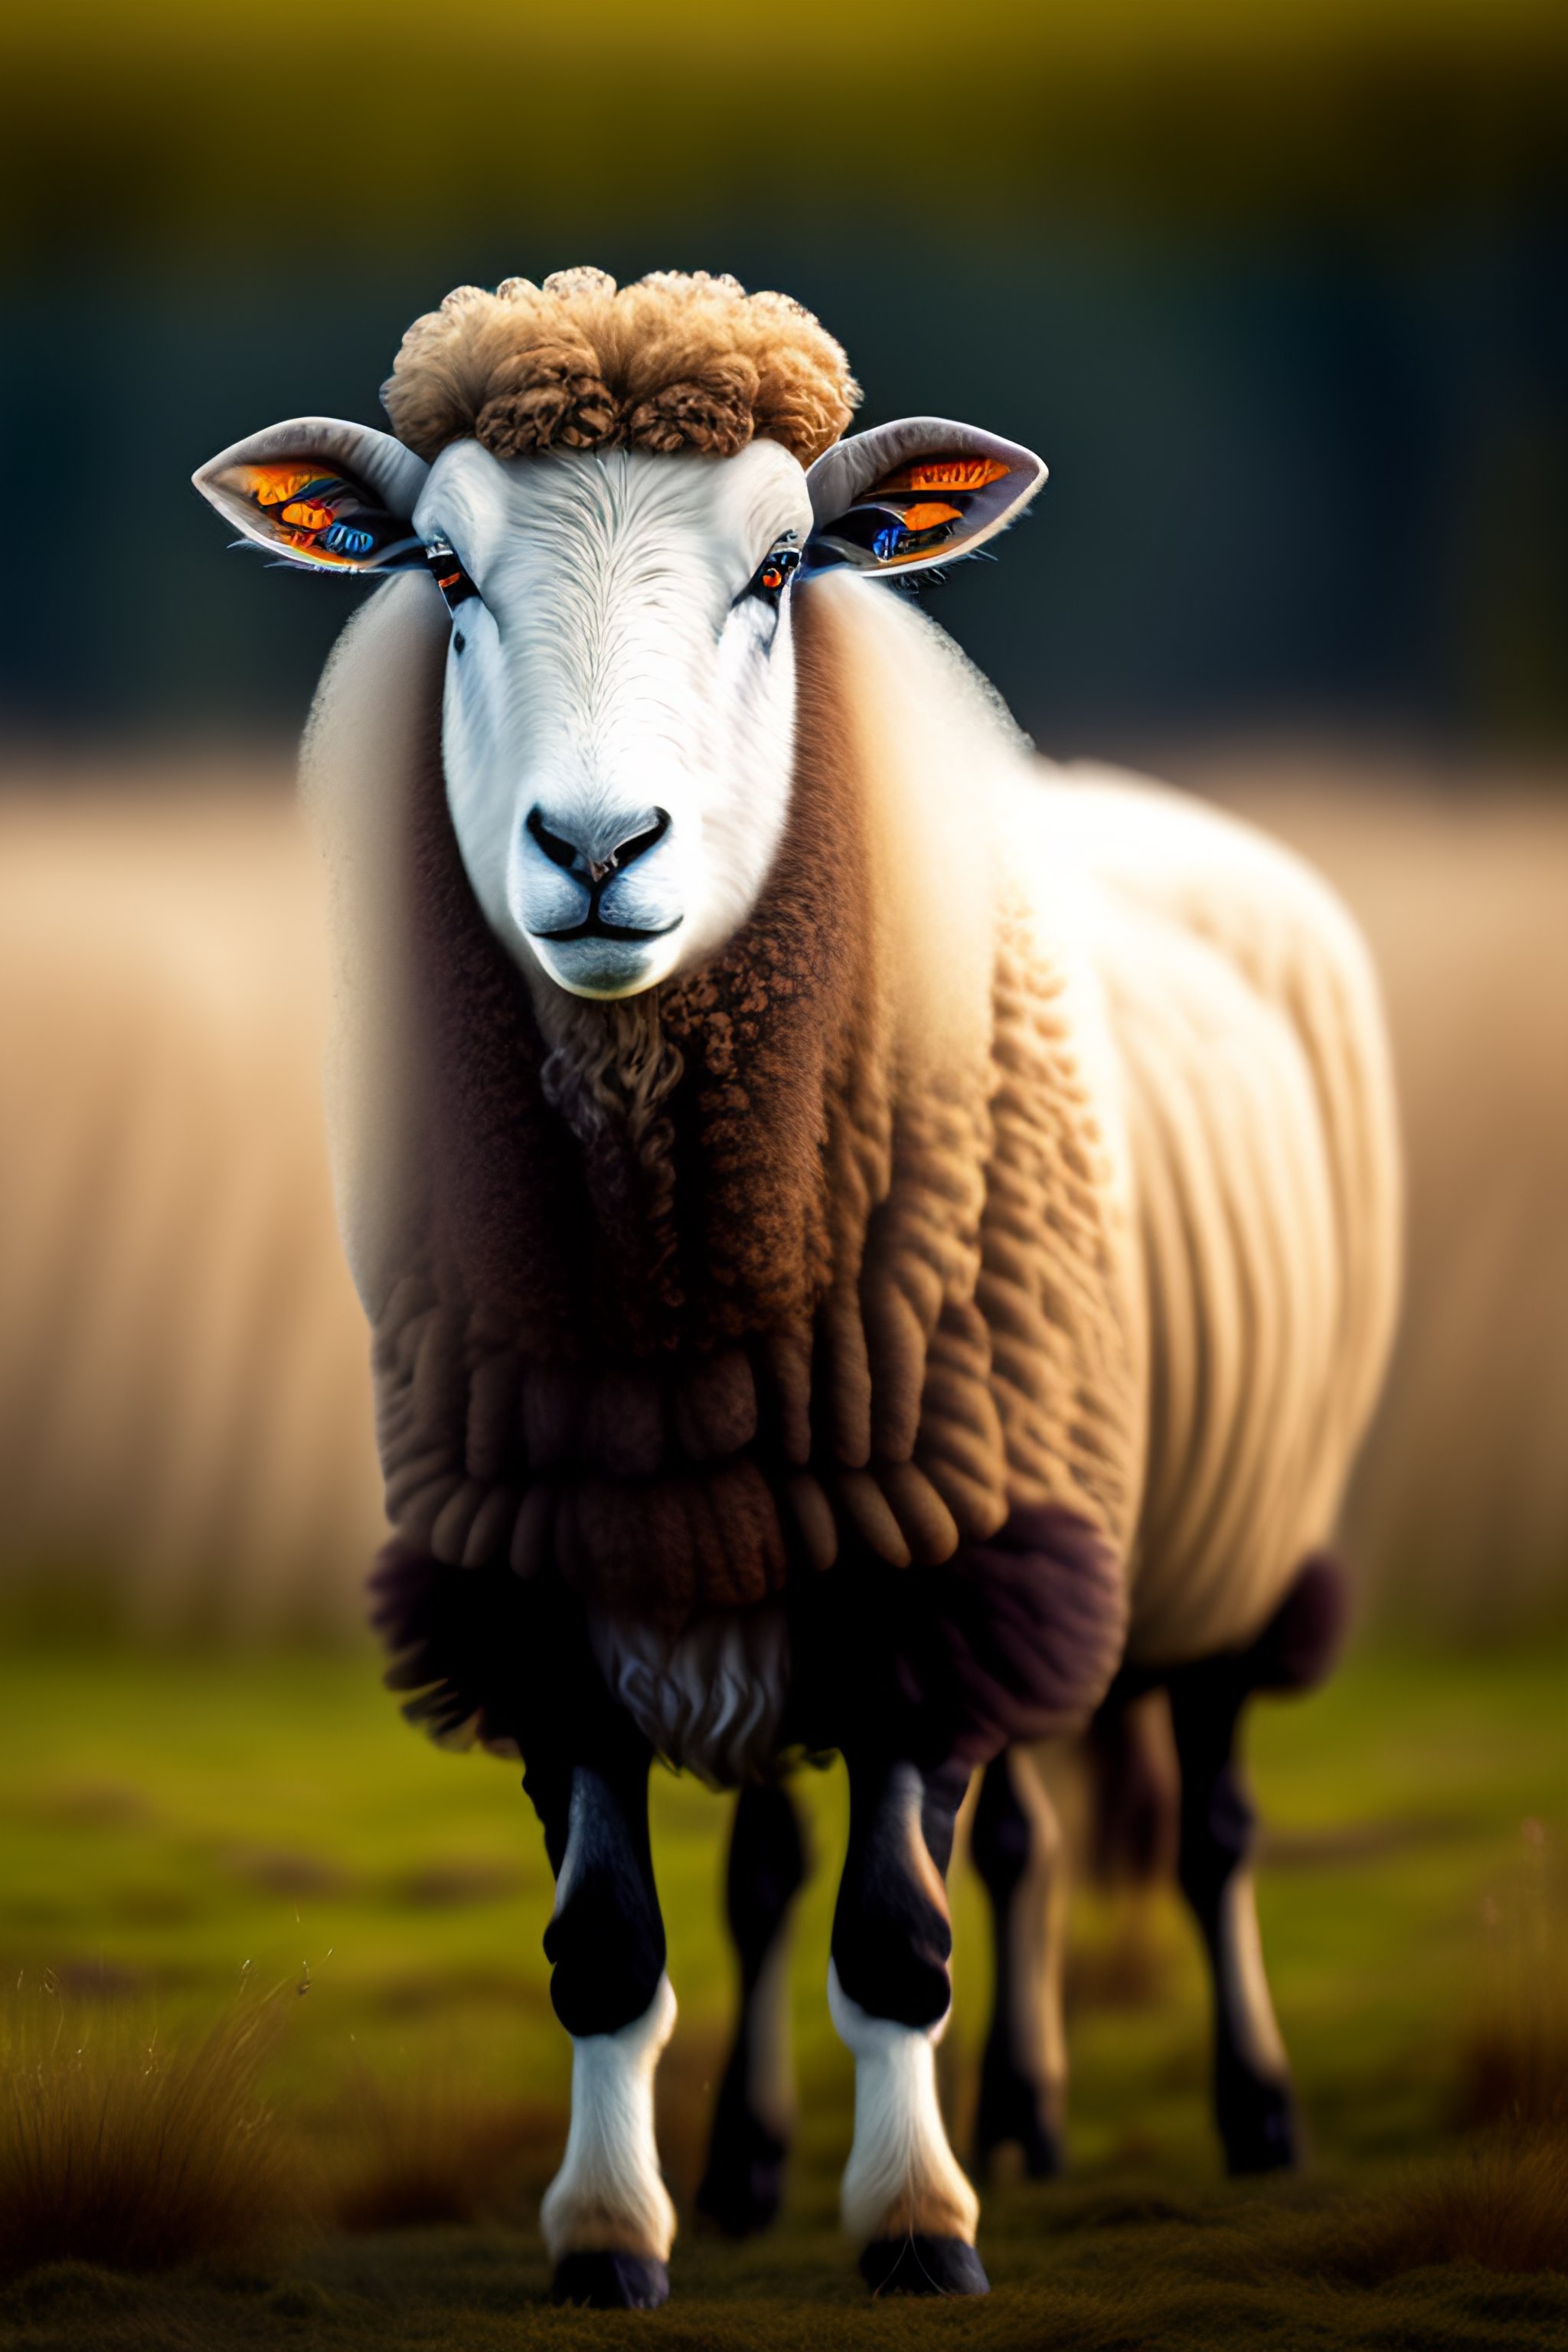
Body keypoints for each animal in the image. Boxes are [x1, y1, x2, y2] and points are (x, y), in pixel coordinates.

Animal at [194, 266, 1401, 2306]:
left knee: (1213, 1826)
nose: (596, 850)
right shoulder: (554, 1573)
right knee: (911, 1855)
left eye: (779, 573)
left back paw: (1246, 2113)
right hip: (800, 1535)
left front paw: (917, 2223)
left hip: (1229, 1529)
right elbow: (613, 1947)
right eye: (440, 569)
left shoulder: (948, 1550)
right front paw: (612, 2233)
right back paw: (916, 2134)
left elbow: (896, 1939)